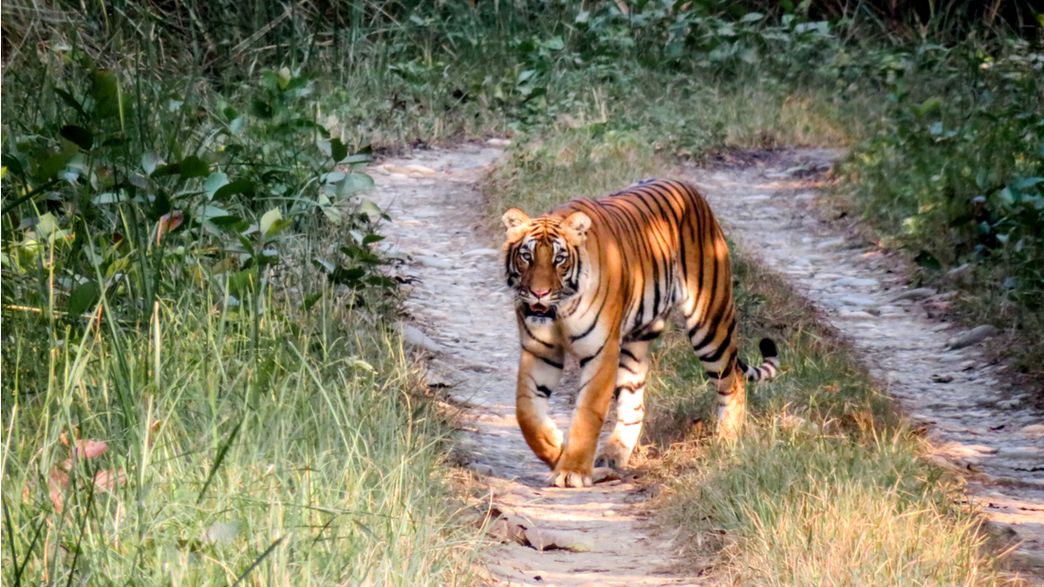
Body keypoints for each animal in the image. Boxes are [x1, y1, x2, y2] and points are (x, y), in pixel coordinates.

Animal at [501, 178, 779, 488]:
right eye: (526, 256)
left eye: (559, 259)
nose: (539, 293)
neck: (560, 311)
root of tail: (690, 189)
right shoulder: (539, 351)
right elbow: (526, 413)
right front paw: (556, 449)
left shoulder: (601, 352)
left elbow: (587, 413)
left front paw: (572, 470)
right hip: (635, 344)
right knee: (635, 405)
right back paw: (612, 456)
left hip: (710, 323)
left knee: (734, 380)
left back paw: (727, 441)